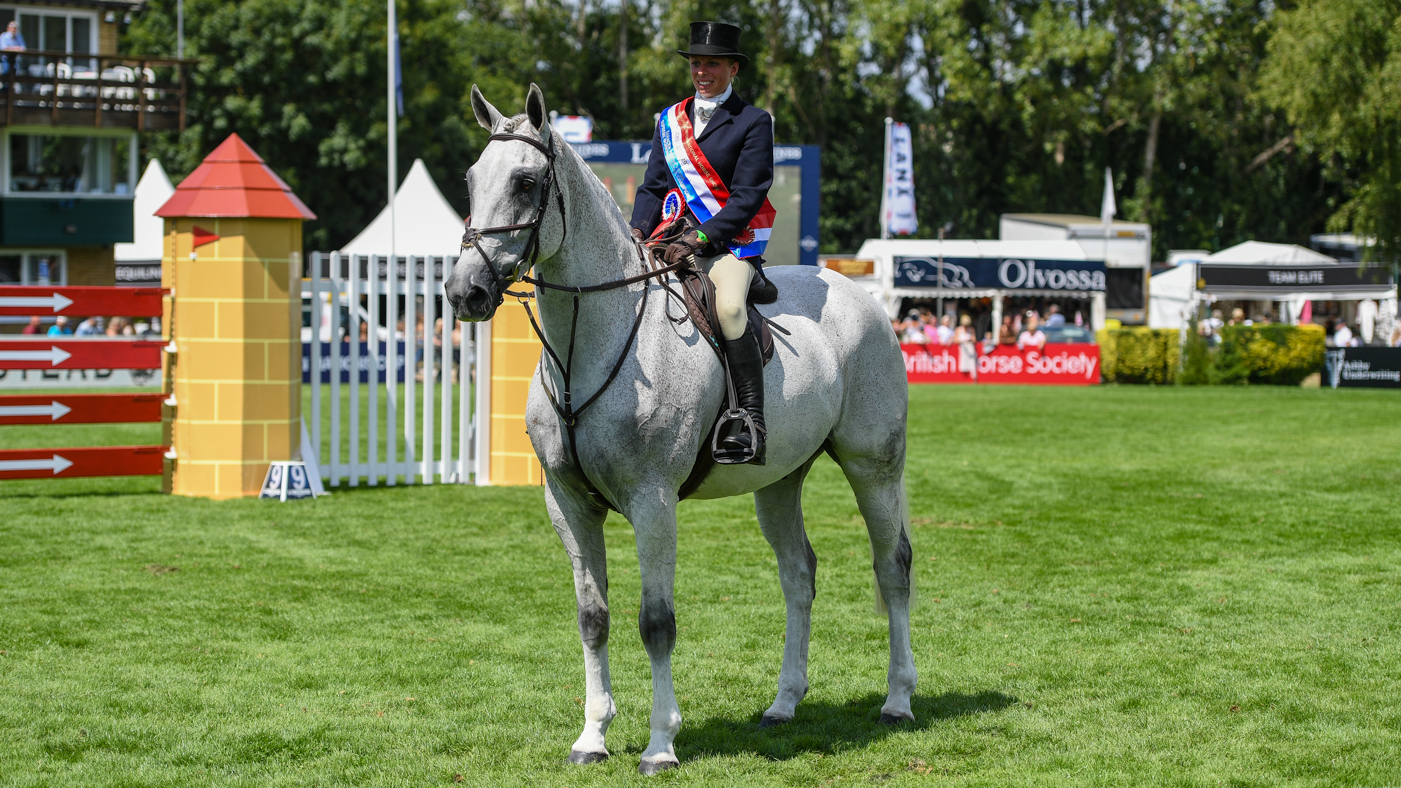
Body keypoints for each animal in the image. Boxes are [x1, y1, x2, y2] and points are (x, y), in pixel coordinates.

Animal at [446, 84, 915, 775]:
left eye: (527, 182)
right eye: (472, 179)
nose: (465, 291)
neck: (596, 340)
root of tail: (863, 299)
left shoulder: (652, 500)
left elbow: (656, 621)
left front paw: (660, 745)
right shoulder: (569, 504)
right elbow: (593, 617)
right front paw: (592, 736)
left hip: (872, 465)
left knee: (892, 565)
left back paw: (899, 701)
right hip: (780, 479)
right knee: (798, 574)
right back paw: (784, 704)